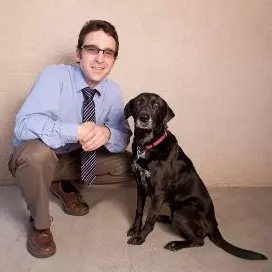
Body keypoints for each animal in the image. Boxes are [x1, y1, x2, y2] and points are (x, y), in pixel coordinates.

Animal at [125, 92, 268, 260]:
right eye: (139, 102)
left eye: (156, 105)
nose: (144, 117)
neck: (148, 145)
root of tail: (214, 223)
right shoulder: (140, 186)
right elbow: (139, 211)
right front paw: (135, 229)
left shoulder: (158, 193)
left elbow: (149, 219)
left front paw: (141, 237)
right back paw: (164, 218)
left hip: (181, 209)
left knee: (199, 240)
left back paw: (175, 244)